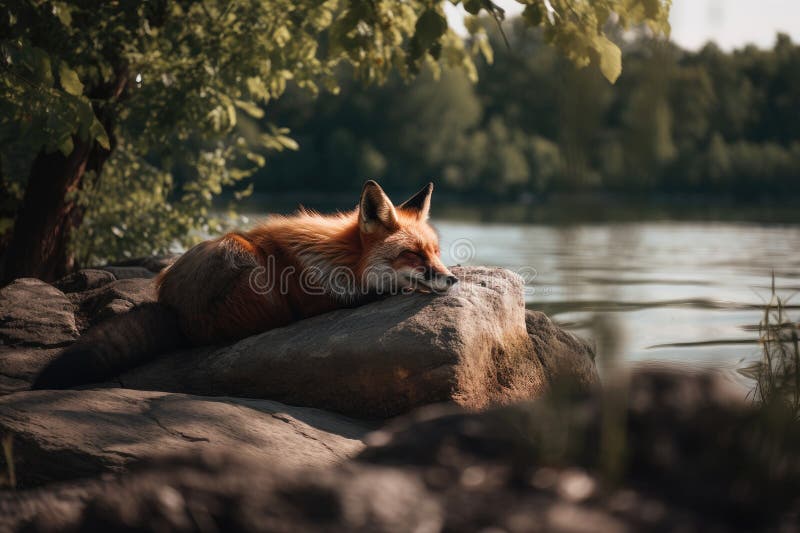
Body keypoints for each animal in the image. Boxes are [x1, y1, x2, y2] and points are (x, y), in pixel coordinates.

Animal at [32, 181, 458, 389]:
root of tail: (173, 310)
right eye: (412, 255)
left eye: (436, 252)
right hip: (241, 254)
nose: (452, 278)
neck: (344, 260)